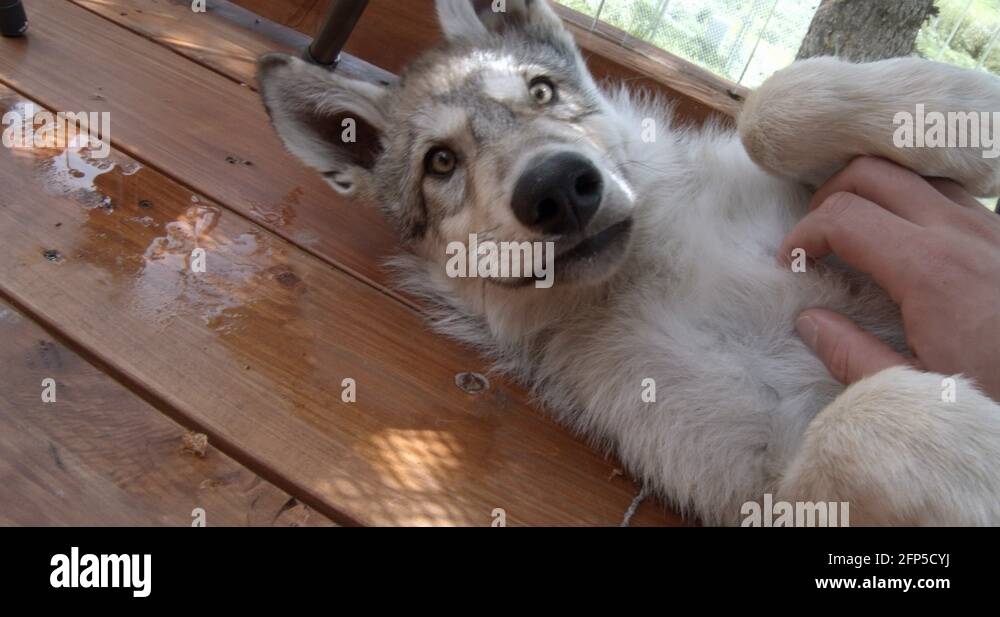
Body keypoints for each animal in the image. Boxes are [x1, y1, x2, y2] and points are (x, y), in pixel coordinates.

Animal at [258, 0, 1000, 524]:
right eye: (440, 163)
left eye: (541, 92)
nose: (559, 188)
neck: (657, 266)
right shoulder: (764, 484)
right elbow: (858, 422)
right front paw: (975, 450)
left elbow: (774, 106)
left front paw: (962, 109)